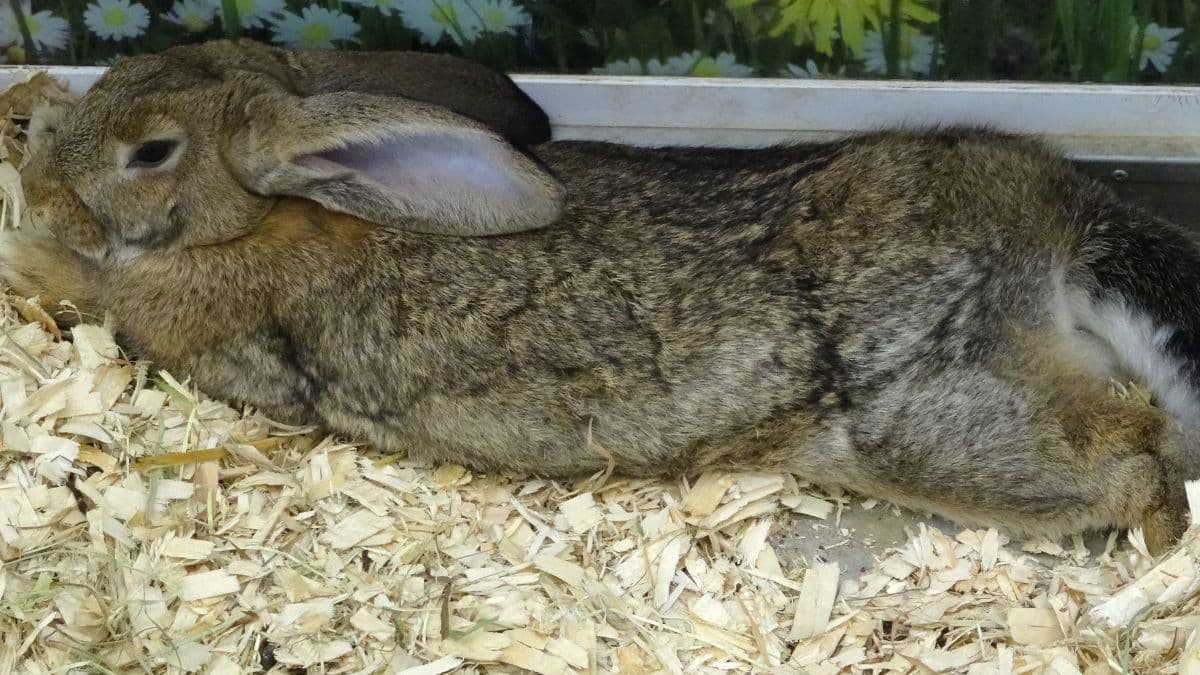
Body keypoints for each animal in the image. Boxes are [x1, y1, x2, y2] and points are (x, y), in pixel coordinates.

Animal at [5, 40, 1199, 555]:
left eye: (150, 150)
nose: (45, 179)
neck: (264, 214)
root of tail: (1055, 223)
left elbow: (86, 284)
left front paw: (24, 249)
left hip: (932, 423)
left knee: (1132, 453)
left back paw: (1155, 541)